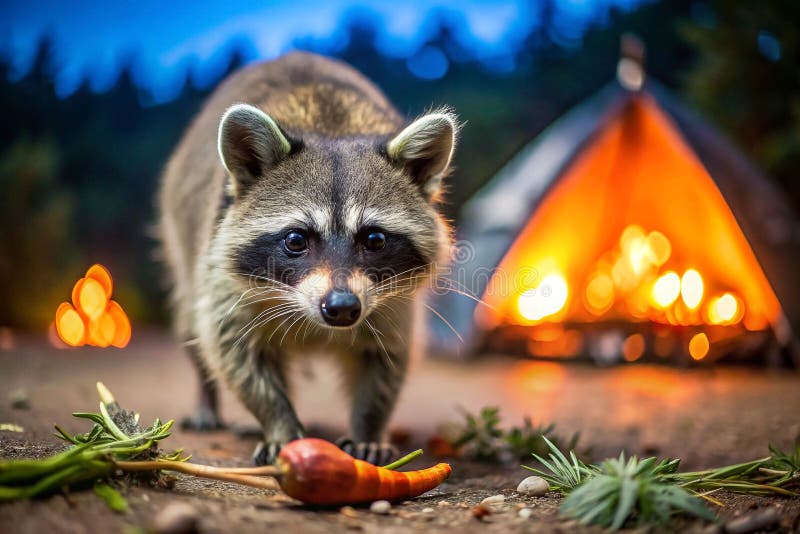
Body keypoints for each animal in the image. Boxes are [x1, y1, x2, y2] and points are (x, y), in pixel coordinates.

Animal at [158, 52, 458, 465]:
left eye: (375, 239)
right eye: (296, 240)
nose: (342, 308)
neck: (329, 130)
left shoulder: (393, 299)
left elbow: (386, 360)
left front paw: (368, 427)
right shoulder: (222, 279)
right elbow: (233, 350)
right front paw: (278, 421)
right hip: (182, 243)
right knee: (190, 322)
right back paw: (207, 397)